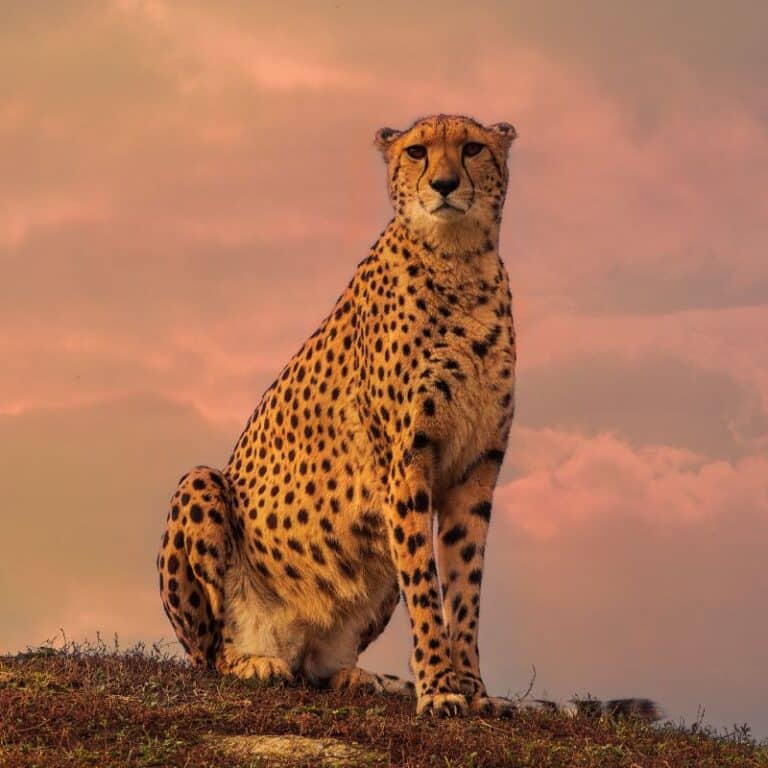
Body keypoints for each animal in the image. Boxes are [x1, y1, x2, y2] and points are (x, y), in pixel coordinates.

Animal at [157, 114, 660, 720]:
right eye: (418, 151)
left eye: (473, 148)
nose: (444, 185)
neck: (460, 261)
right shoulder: (407, 465)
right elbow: (425, 581)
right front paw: (440, 688)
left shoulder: (477, 468)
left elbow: (464, 586)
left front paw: (474, 690)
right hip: (200, 486)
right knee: (208, 653)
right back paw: (251, 662)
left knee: (319, 668)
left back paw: (354, 676)